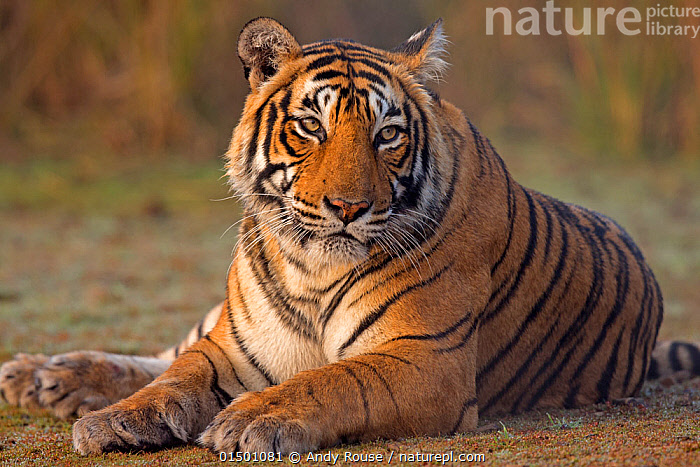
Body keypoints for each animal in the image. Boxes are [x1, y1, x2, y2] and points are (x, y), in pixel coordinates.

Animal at [1, 17, 699, 456]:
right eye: (311, 125)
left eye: (387, 135)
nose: (347, 207)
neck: (311, 268)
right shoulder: (233, 345)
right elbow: (176, 376)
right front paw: (118, 419)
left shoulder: (422, 359)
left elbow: (333, 382)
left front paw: (252, 418)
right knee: (168, 349)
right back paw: (42, 375)